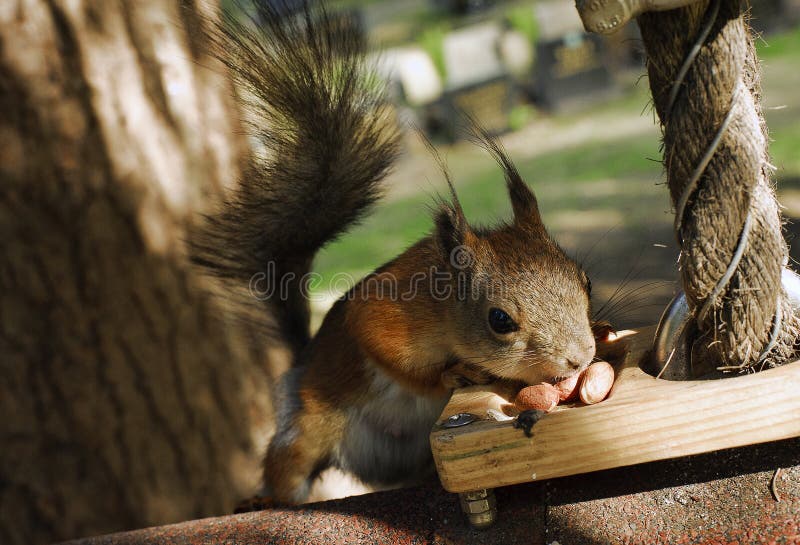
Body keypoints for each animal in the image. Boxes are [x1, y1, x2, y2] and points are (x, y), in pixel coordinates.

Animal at [192, 1, 596, 504]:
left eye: (585, 281)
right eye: (500, 320)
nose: (580, 358)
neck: (443, 304)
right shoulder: (385, 314)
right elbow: (395, 358)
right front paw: (451, 375)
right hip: (304, 428)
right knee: (287, 471)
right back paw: (262, 498)